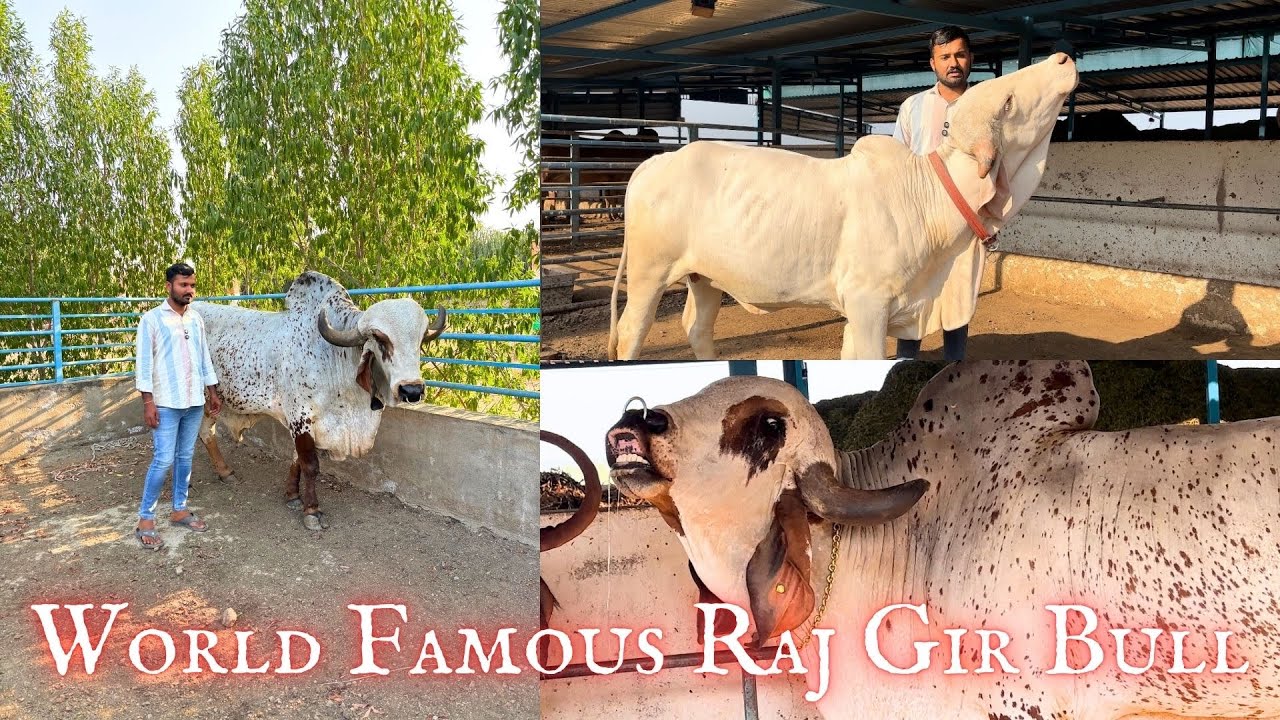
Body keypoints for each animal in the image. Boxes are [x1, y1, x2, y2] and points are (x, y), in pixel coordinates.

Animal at [195, 271, 445, 531]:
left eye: (421, 340)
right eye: (379, 338)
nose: (411, 389)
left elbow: (297, 459)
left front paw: (292, 496)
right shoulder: (300, 418)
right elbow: (310, 464)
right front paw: (312, 511)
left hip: (212, 403)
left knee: (206, 433)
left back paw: (225, 472)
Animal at [608, 53, 1079, 361]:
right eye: (1009, 103)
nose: (1062, 57)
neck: (927, 200)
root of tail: (654, 161)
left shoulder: (866, 308)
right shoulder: (868, 302)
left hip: (704, 276)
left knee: (698, 329)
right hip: (649, 272)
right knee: (631, 333)